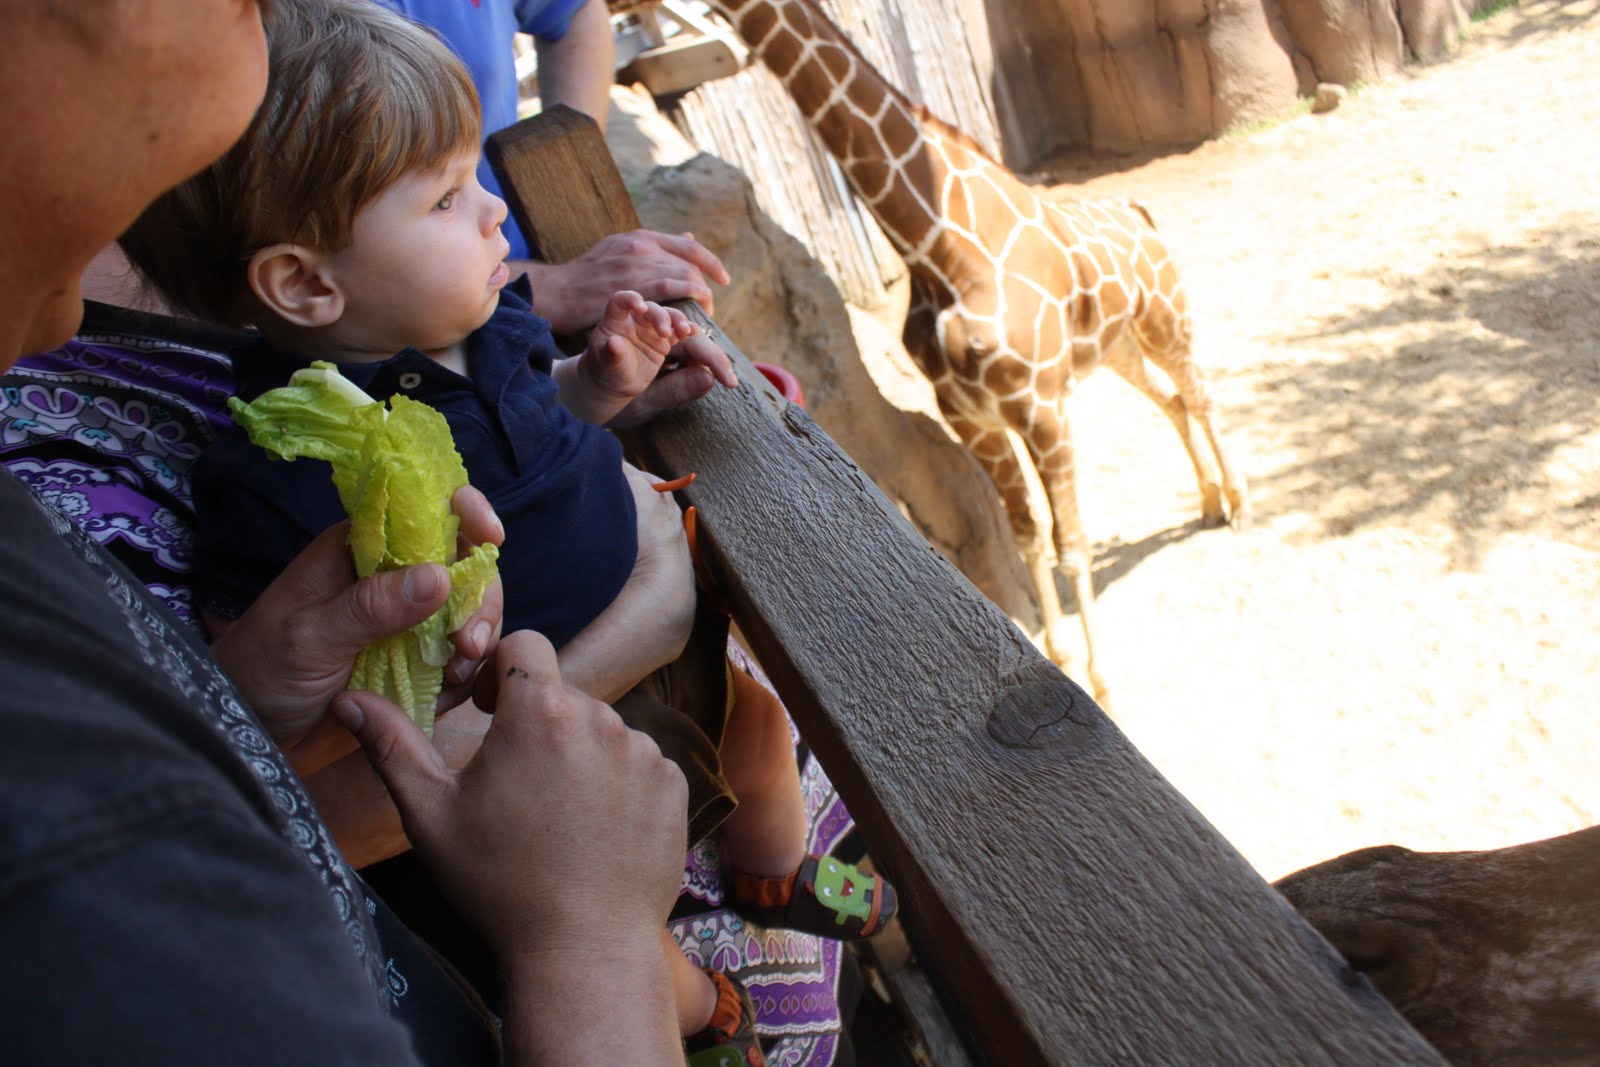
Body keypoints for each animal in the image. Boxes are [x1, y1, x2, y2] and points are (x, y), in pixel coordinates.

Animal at [699, 0, 1249, 702]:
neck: (940, 249)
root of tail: (1136, 209)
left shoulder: (1041, 409)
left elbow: (1071, 542)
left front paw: (1101, 685)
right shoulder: (973, 418)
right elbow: (1027, 536)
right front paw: (1063, 662)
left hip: (1164, 318)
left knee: (1200, 393)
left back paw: (1241, 507)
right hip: (1117, 348)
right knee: (1174, 400)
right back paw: (1207, 504)